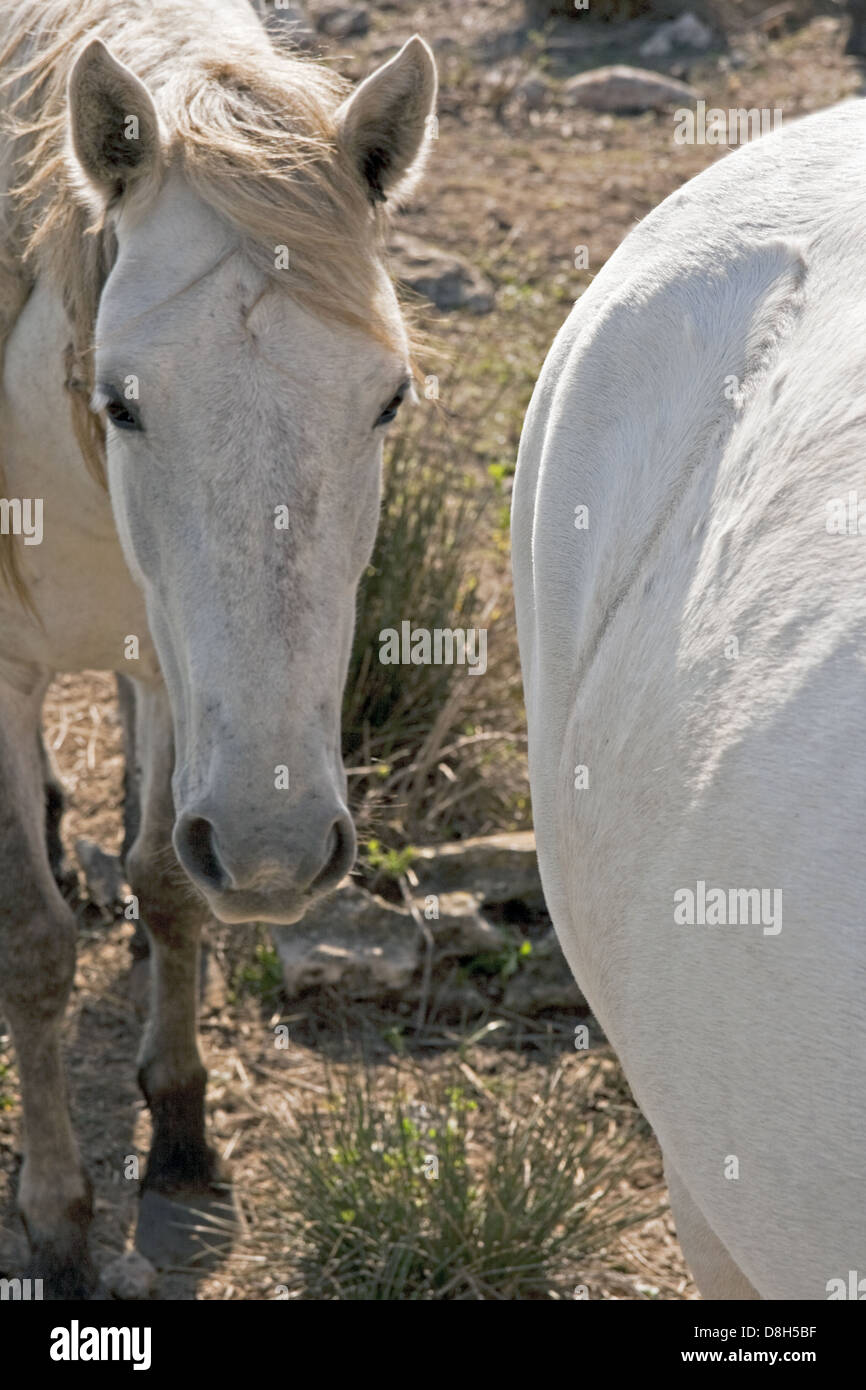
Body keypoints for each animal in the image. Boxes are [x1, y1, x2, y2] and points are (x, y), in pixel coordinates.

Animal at [0, 0, 435, 1297]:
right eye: (121, 400)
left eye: (389, 399)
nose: (272, 848)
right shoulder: (3, 676)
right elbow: (29, 944)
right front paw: (55, 1218)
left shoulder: (165, 664)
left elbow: (168, 887)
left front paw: (182, 1134)